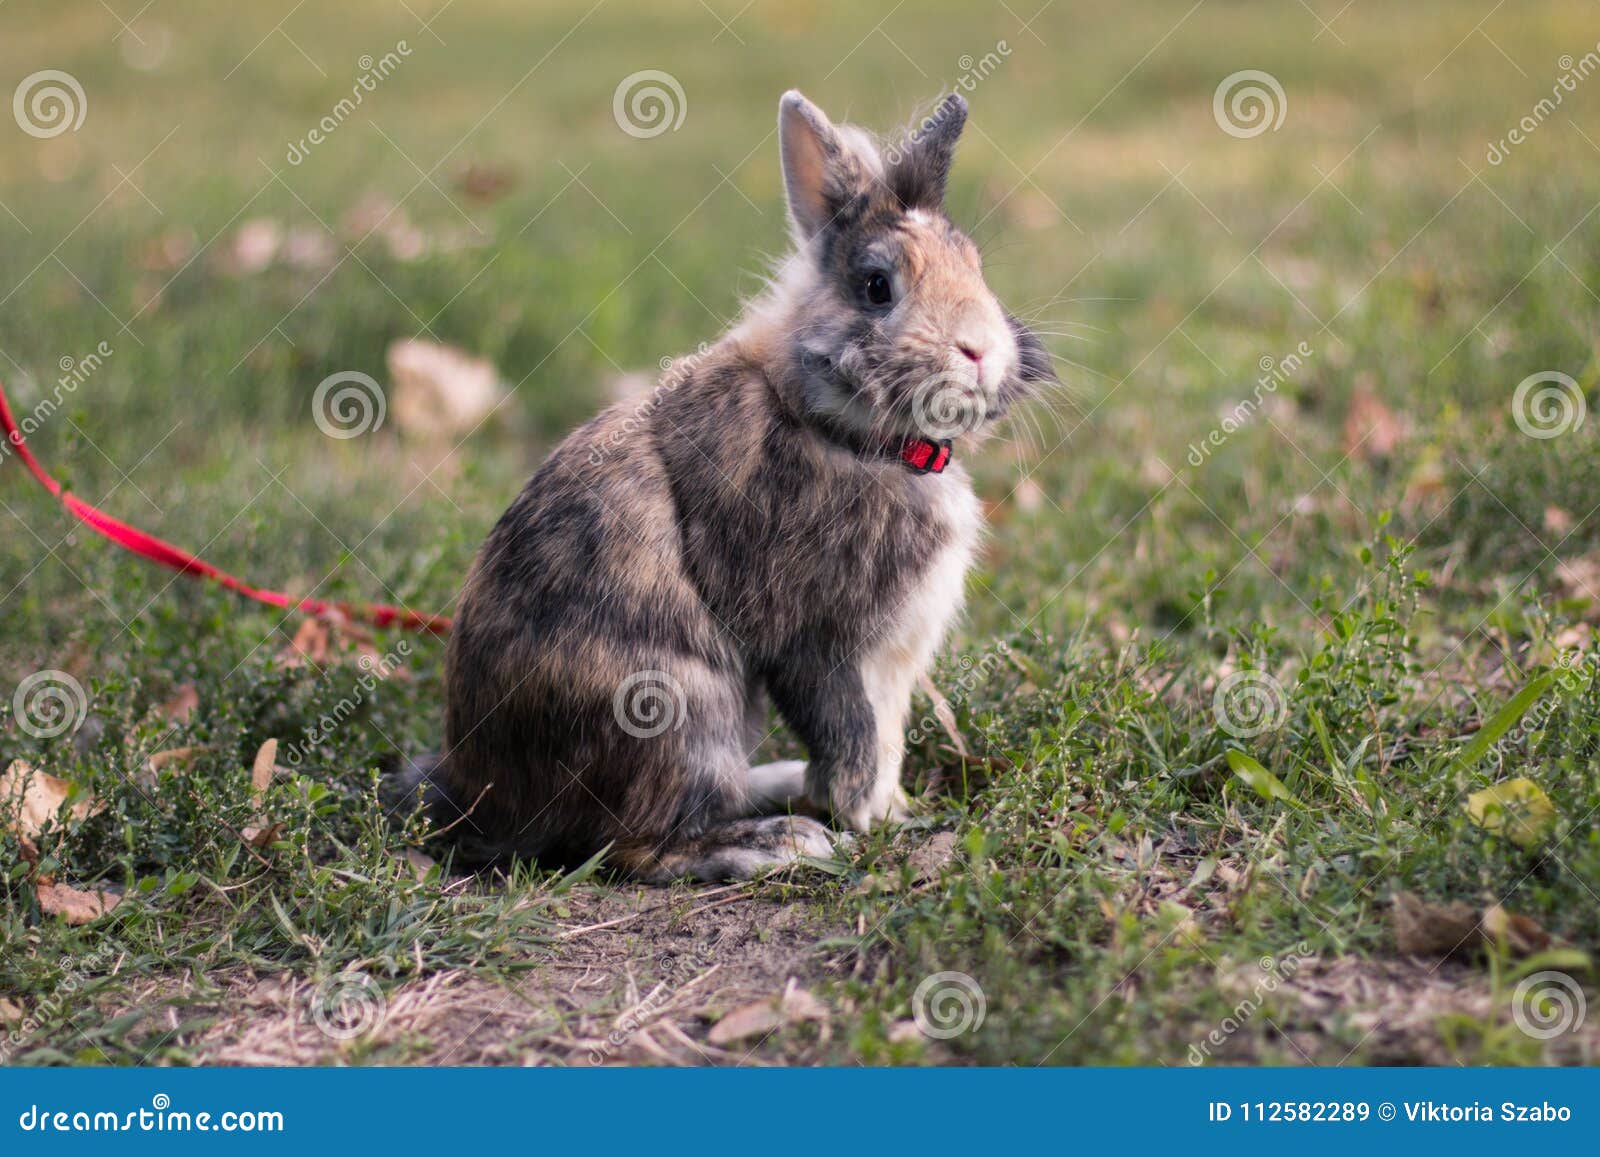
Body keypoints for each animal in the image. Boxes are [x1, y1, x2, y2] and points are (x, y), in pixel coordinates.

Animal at [389, 90, 1056, 881]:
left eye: (975, 265)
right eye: (876, 286)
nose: (979, 350)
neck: (837, 427)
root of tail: (479, 797)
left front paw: (892, 810)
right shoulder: (819, 643)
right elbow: (856, 740)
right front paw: (869, 821)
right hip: (677, 706)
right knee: (639, 847)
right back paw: (781, 840)